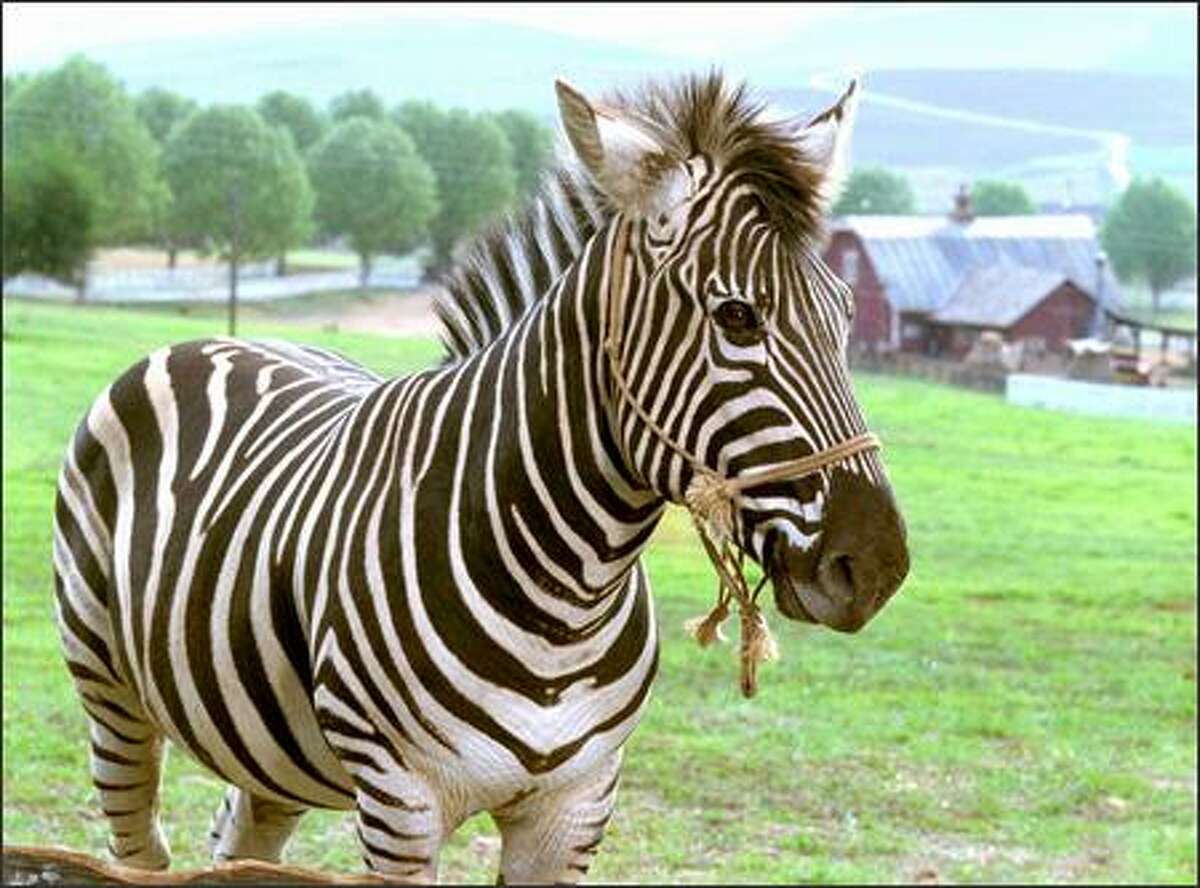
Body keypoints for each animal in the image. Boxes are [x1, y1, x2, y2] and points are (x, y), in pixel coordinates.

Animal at [52, 72, 909, 883]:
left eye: (843, 314)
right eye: (737, 317)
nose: (877, 568)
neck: (566, 598)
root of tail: (213, 339)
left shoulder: (578, 805)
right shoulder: (402, 803)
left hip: (269, 748)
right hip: (109, 693)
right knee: (140, 843)